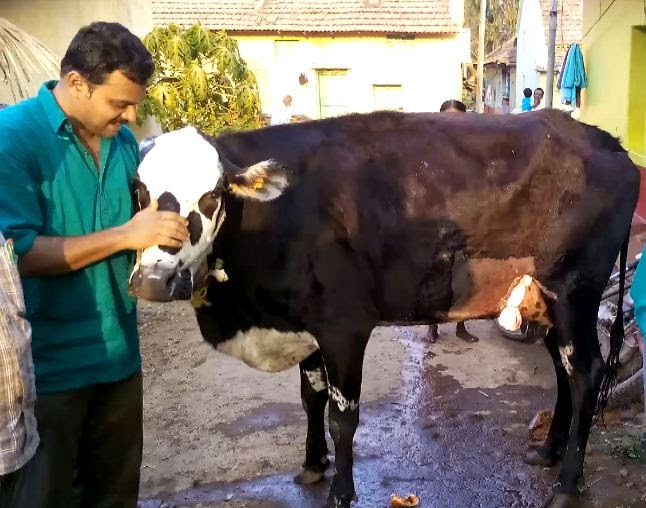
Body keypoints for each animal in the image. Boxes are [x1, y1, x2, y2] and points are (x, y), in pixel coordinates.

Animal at [129, 110, 639, 508]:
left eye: (211, 194)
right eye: (139, 190)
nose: (154, 279)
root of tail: (610, 144)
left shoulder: (344, 326)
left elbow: (343, 417)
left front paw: (341, 491)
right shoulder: (306, 325)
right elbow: (311, 397)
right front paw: (313, 463)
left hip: (574, 293)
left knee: (586, 373)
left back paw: (568, 484)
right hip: (548, 302)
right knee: (563, 373)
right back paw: (549, 451)